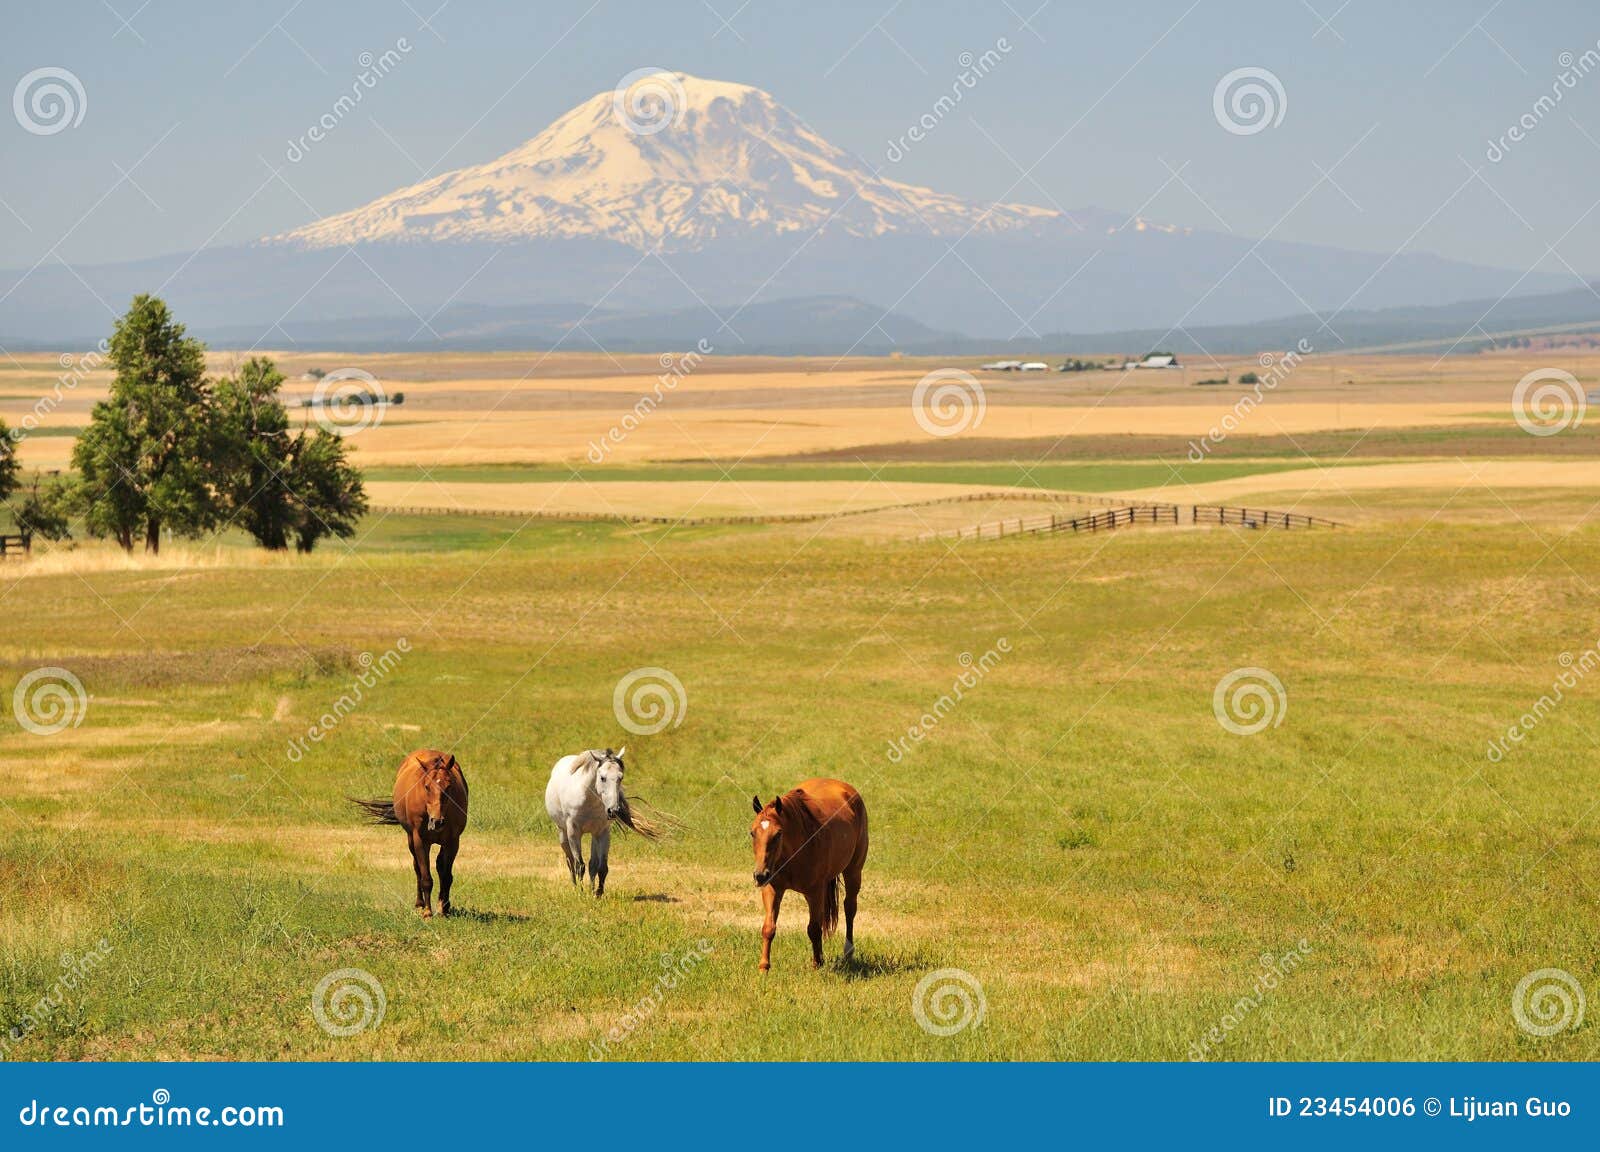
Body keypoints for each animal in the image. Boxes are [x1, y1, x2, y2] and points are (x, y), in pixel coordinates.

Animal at [351, 748, 469, 918]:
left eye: (449, 786)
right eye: (427, 786)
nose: (437, 822)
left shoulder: (453, 841)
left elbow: (446, 876)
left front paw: (443, 909)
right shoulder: (420, 840)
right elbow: (426, 877)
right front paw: (427, 912)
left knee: (440, 866)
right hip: (411, 839)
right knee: (417, 868)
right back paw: (420, 904)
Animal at [749, 778, 868, 971]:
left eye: (778, 833)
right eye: (752, 832)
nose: (760, 875)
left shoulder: (815, 892)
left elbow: (813, 929)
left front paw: (817, 963)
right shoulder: (773, 888)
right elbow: (768, 928)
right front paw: (764, 967)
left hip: (853, 872)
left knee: (849, 908)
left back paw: (848, 952)